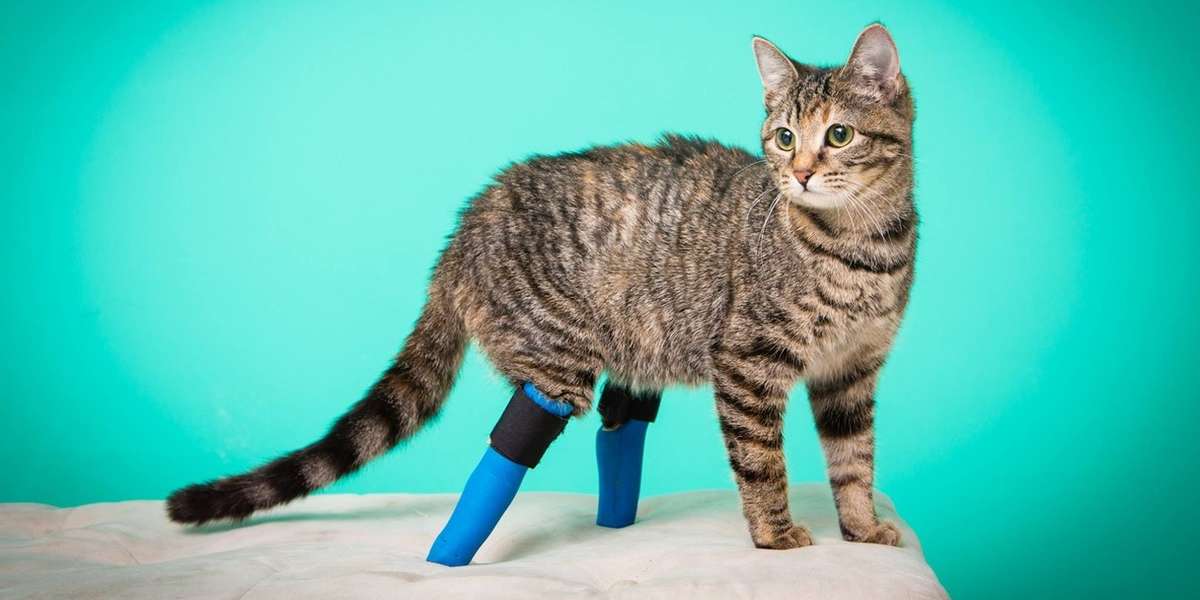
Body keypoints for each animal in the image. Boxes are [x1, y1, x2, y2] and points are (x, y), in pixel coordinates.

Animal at [166, 22, 916, 549]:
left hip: (637, 349)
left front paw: (862, 529)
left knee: (618, 425)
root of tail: (466, 226)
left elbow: (854, 461)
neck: (861, 248)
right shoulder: (749, 365)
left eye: (839, 135)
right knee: (513, 447)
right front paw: (775, 536)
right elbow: (763, 463)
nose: (802, 174)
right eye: (784, 137)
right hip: (557, 362)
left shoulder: (851, 374)